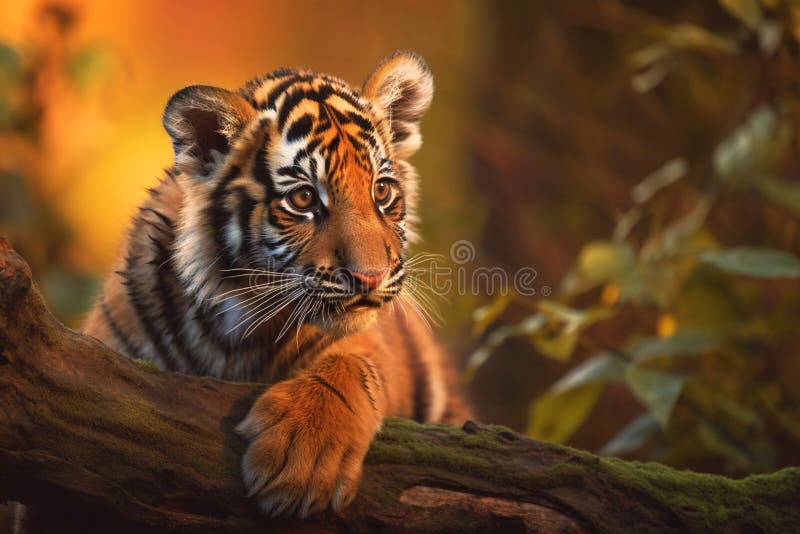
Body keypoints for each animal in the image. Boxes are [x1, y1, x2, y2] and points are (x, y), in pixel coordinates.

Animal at [81, 51, 472, 519]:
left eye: (381, 191)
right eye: (303, 199)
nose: (371, 276)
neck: (235, 325)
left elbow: (350, 363)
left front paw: (304, 458)